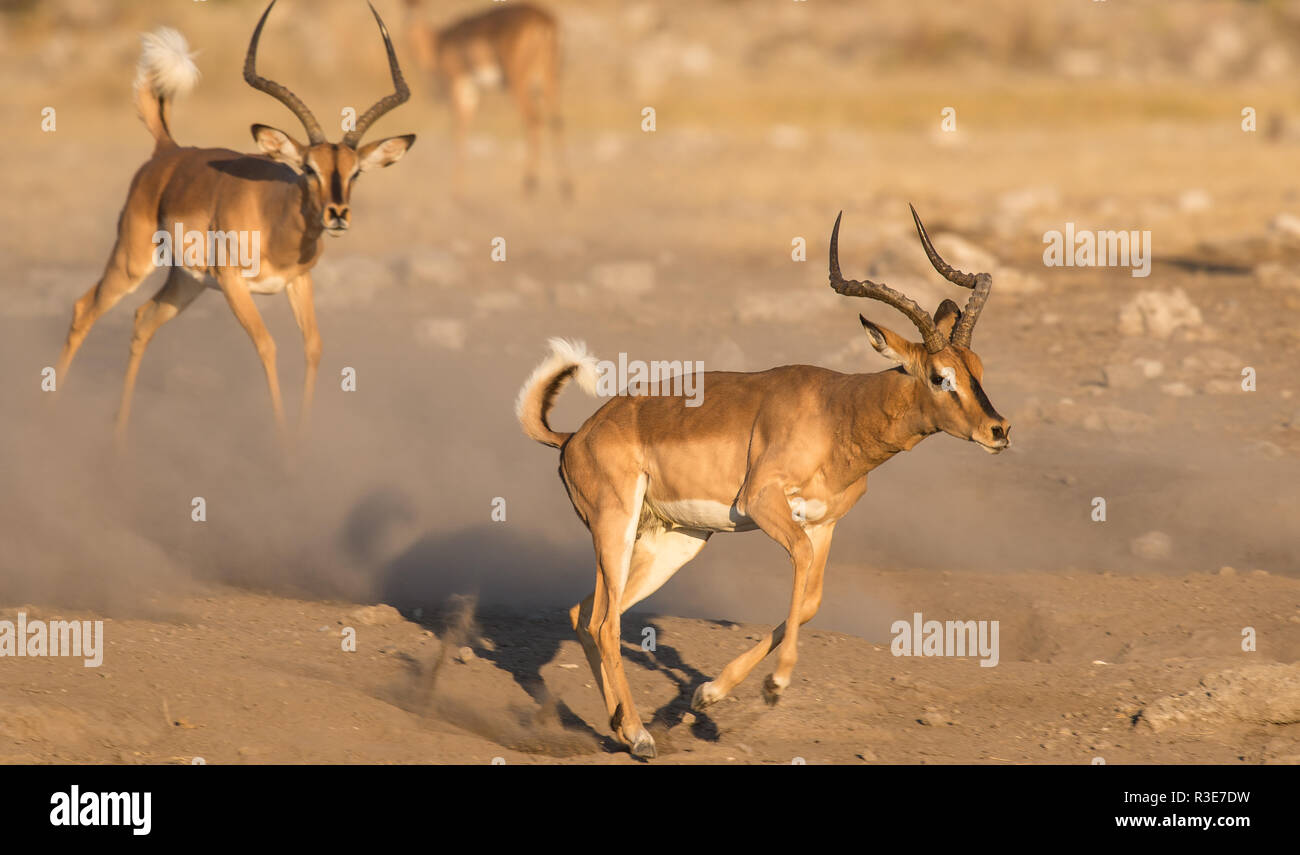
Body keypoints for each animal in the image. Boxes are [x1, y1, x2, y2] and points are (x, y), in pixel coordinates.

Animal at [54, 1, 415, 449]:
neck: (274, 219)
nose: (337, 214)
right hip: (131, 260)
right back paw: (52, 419)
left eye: (356, 173)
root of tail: (168, 151)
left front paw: (302, 443)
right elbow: (267, 346)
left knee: (142, 318)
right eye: (308, 168)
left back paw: (119, 433)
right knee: (84, 308)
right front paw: (284, 449)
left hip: (185, 282)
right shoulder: (233, 283)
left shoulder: (298, 282)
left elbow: (313, 347)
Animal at [403, 0, 570, 196]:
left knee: (533, 119)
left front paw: (457, 191)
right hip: (548, 80)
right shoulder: (473, 91)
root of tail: (544, 23)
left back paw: (529, 184)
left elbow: (458, 131)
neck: (439, 43)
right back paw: (566, 188)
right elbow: (464, 129)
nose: (411, 14)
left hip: (519, 83)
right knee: (557, 120)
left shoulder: (460, 86)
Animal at [516, 207, 1011, 758]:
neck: (837, 413)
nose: (999, 430)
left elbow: (812, 600)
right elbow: (800, 563)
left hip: (675, 544)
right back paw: (641, 735)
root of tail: (573, 435)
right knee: (603, 622)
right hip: (615, 529)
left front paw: (708, 696)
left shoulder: (824, 523)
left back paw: (624, 729)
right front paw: (774, 686)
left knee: (585, 614)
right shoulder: (763, 503)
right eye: (940, 376)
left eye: (977, 368)